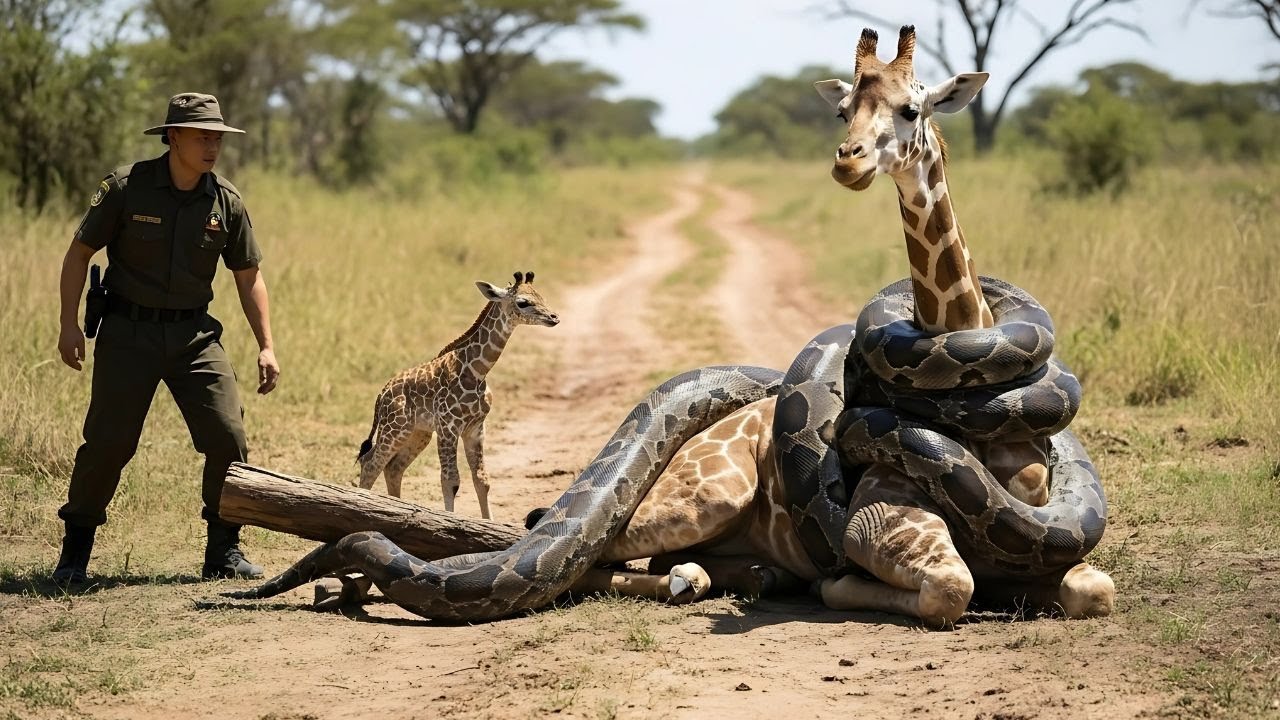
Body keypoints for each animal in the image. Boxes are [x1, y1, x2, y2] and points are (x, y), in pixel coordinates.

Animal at [355, 271, 559, 519]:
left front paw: (488, 522)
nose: (554, 317)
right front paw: (449, 521)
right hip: (395, 428)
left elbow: (482, 480)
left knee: (392, 468)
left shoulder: (476, 428)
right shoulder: (448, 426)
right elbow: (450, 480)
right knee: (371, 464)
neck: (477, 371)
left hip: (418, 433)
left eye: (541, 296)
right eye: (523, 302)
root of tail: (381, 395)